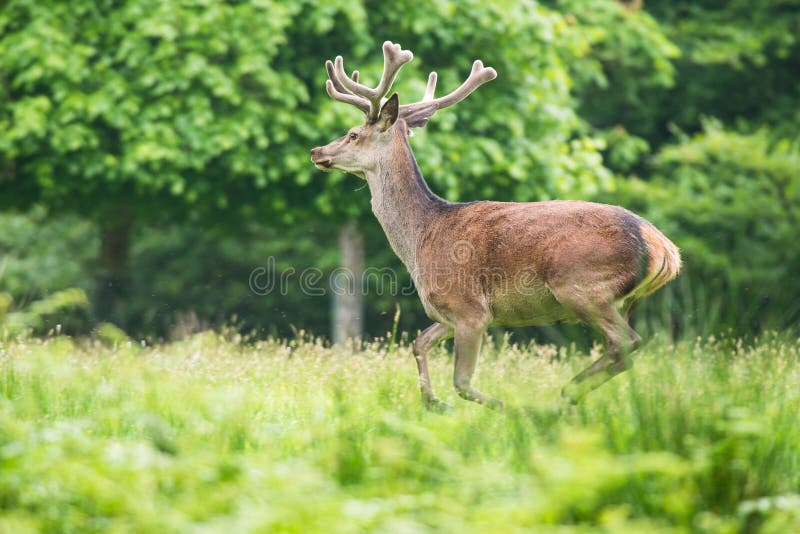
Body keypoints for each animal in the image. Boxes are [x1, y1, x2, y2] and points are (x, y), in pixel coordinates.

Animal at [310, 42, 681, 411]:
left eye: (353, 134)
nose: (316, 151)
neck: (421, 238)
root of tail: (665, 249)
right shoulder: (447, 313)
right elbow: (419, 343)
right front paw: (432, 402)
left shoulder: (468, 306)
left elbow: (461, 382)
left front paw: (505, 410)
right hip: (620, 300)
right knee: (625, 347)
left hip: (581, 285)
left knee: (627, 342)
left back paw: (561, 397)